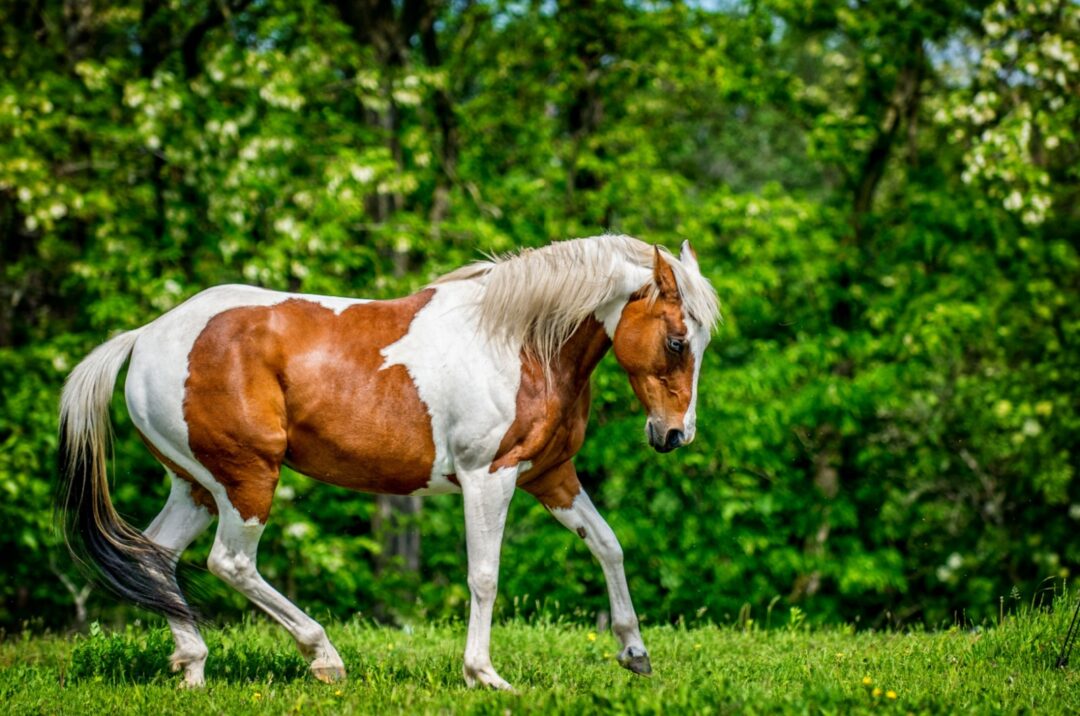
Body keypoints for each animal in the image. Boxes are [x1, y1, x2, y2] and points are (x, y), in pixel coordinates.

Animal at [57, 234, 720, 689]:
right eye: (677, 340)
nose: (675, 435)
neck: (521, 341)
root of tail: (146, 336)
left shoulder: (550, 476)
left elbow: (608, 545)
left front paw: (635, 653)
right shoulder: (489, 477)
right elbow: (484, 575)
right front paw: (484, 675)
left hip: (195, 485)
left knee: (156, 555)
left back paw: (193, 667)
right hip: (246, 479)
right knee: (230, 562)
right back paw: (323, 657)